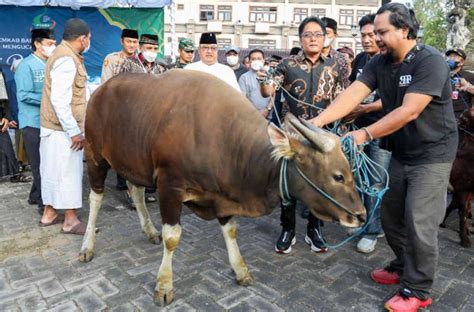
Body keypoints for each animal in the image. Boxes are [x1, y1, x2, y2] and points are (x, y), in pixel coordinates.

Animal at [78, 70, 366, 304]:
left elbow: (230, 231)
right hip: (95, 156)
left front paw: (240, 270)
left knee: (136, 192)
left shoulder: (222, 196)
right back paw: (87, 245)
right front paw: (164, 285)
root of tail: (101, 90)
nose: (361, 215)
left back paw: (149, 231)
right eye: (338, 176)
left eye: (350, 170)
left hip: (133, 163)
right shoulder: (170, 187)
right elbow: (172, 237)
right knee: (95, 199)